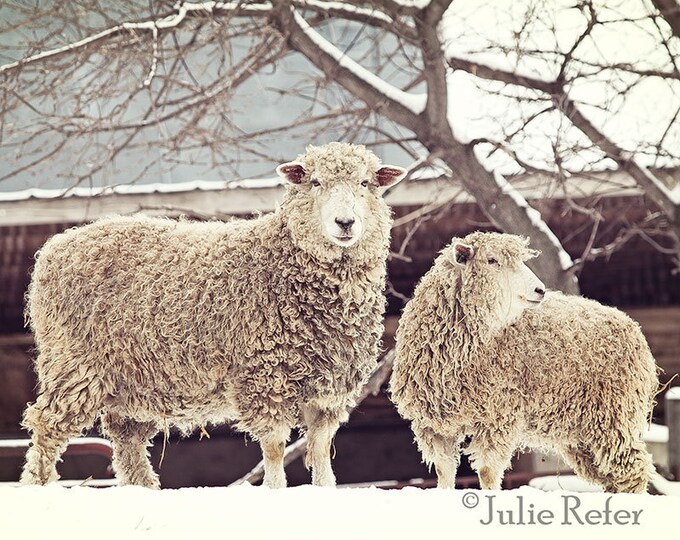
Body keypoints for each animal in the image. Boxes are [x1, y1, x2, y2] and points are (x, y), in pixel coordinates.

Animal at [21, 141, 406, 489]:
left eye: (366, 183)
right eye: (314, 182)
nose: (345, 223)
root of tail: (55, 247)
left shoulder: (330, 388)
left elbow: (322, 450)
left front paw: (325, 491)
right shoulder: (263, 377)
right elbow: (274, 449)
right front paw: (276, 492)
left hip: (133, 381)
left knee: (126, 440)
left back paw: (143, 489)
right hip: (72, 364)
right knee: (46, 425)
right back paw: (38, 484)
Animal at [390, 231, 659, 493]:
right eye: (491, 260)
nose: (540, 290)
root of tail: (632, 326)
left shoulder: (499, 414)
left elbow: (487, 472)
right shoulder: (431, 424)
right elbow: (443, 471)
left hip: (615, 414)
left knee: (632, 471)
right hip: (581, 432)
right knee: (612, 477)